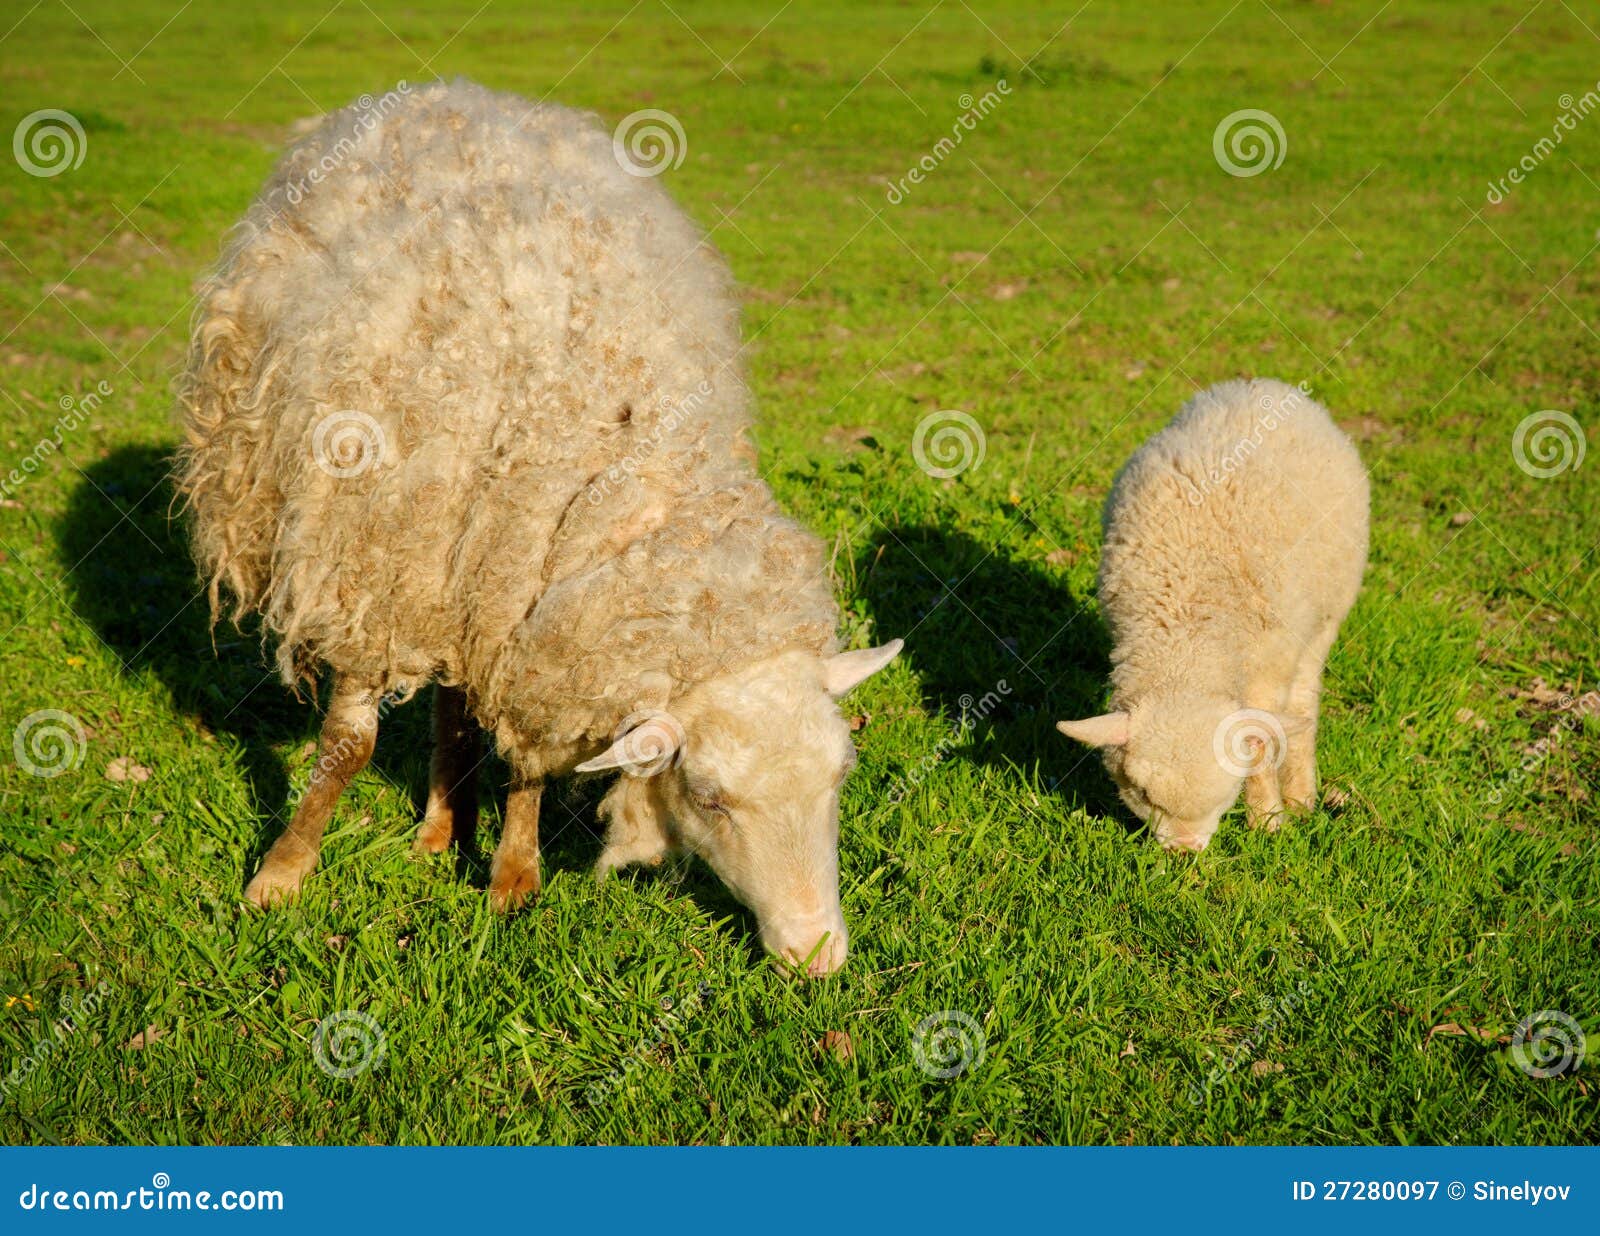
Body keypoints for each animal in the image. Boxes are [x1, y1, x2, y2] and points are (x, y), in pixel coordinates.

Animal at [176, 79, 901, 976]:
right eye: (708, 798)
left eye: (841, 776)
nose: (818, 956)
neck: (615, 473)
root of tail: (453, 92)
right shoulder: (374, 570)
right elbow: (347, 746)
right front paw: (282, 872)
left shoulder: (529, 617)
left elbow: (528, 760)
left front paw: (513, 872)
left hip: (473, 570)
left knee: (457, 699)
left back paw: (442, 822)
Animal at [1056, 378, 1368, 851]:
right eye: (1143, 794)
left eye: (1225, 794)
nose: (1184, 854)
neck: (1190, 636)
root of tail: (1265, 386)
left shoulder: (1268, 660)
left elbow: (1262, 743)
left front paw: (1269, 819)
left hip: (1327, 612)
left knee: (1304, 697)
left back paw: (1300, 794)